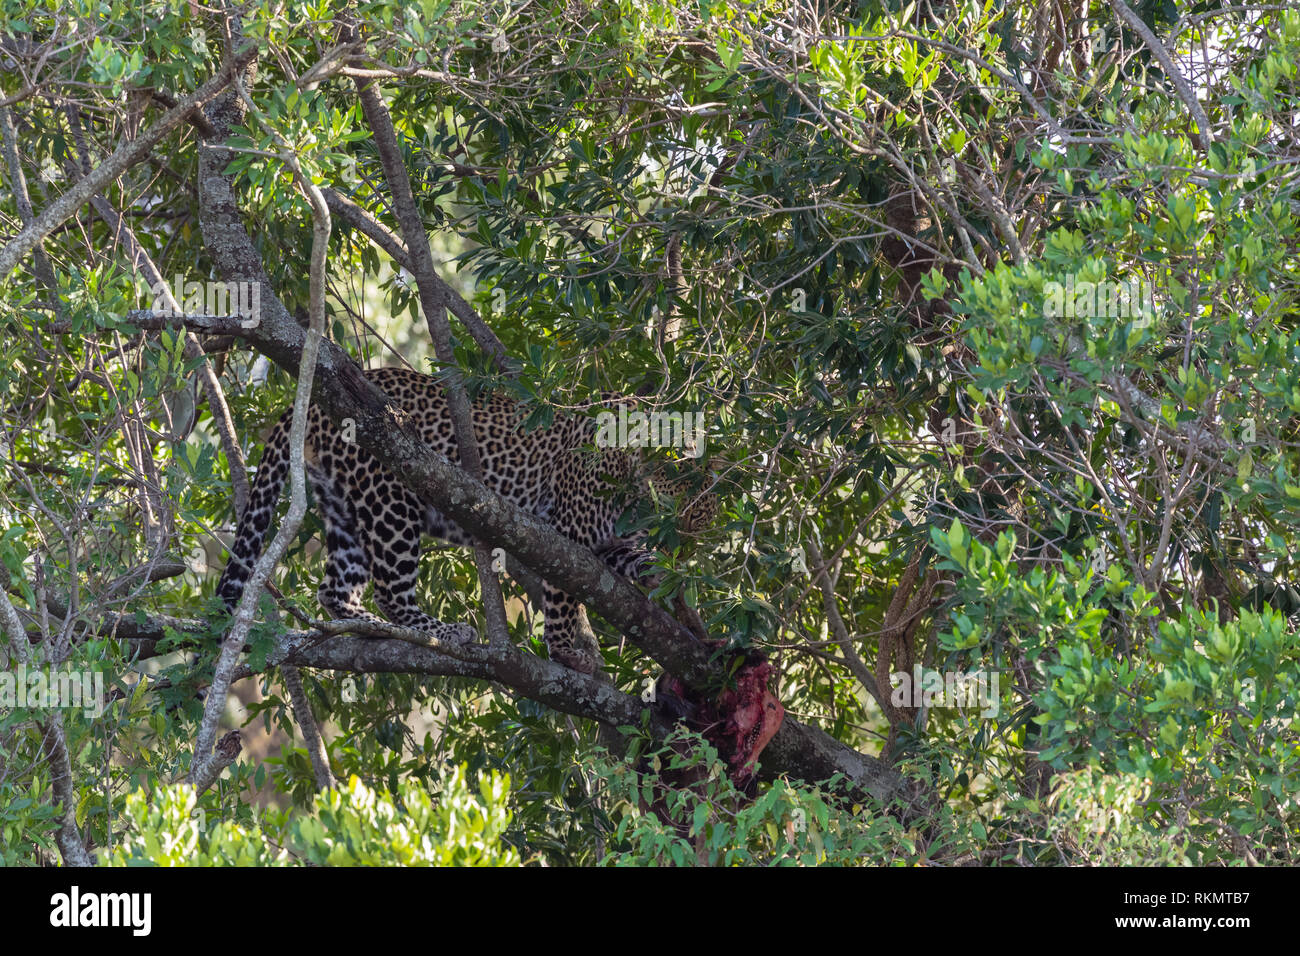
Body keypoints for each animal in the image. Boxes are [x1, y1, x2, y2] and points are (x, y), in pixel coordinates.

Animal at [215, 367, 715, 673]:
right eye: (689, 507)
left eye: (706, 515)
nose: (692, 541)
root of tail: (313, 403)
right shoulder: (569, 535)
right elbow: (563, 601)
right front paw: (565, 652)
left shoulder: (609, 541)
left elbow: (634, 560)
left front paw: (673, 587)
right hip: (390, 500)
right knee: (390, 590)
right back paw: (440, 631)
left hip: (345, 506)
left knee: (335, 589)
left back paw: (369, 628)